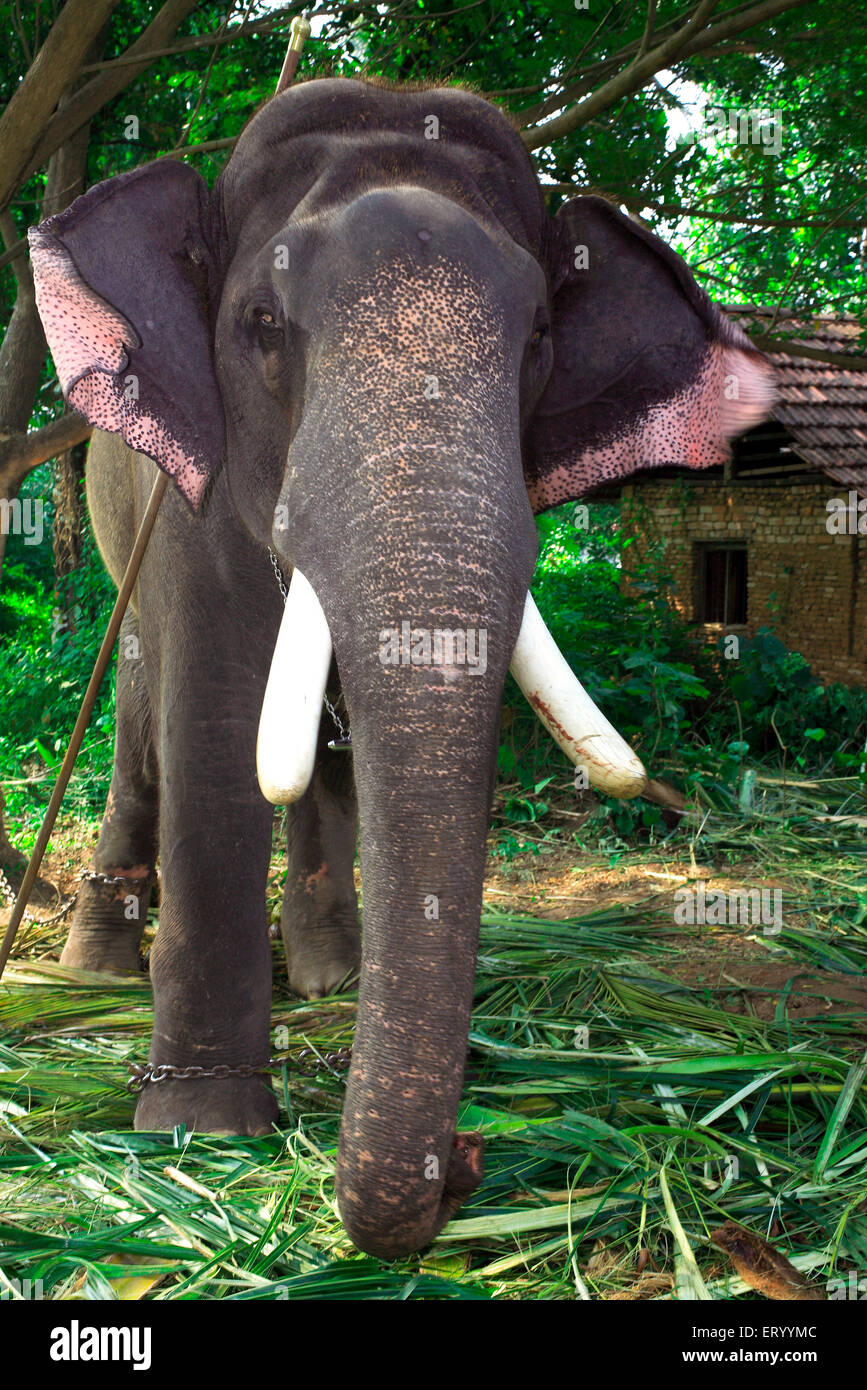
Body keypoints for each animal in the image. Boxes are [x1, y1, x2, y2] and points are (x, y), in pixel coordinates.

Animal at [29, 77, 775, 1259]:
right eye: (262, 324)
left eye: (540, 337)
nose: (463, 1166)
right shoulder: (188, 495)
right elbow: (215, 719)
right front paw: (204, 1126)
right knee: (146, 721)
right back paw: (96, 967)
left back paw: (330, 968)